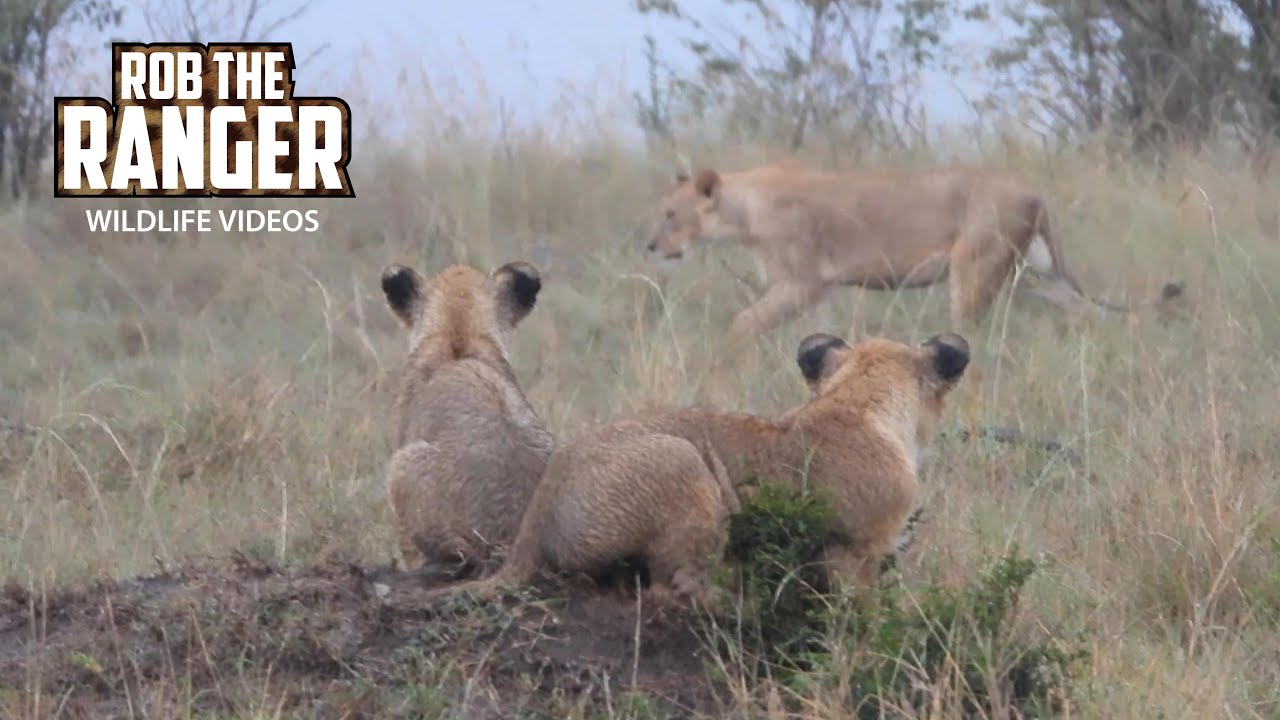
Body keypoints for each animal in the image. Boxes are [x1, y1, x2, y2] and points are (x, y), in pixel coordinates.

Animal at [417, 330, 970, 609]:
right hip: (684, 462)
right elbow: (864, 614)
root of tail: (534, 522)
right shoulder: (856, 552)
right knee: (672, 585)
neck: (858, 401)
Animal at [645, 162, 1184, 342]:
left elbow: (743, 323)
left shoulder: (800, 283)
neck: (744, 208)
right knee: (1089, 312)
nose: (650, 244)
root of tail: (1034, 193)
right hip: (1033, 273)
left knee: (972, 333)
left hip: (973, 269)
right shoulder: (819, 292)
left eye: (670, 214)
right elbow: (819, 334)